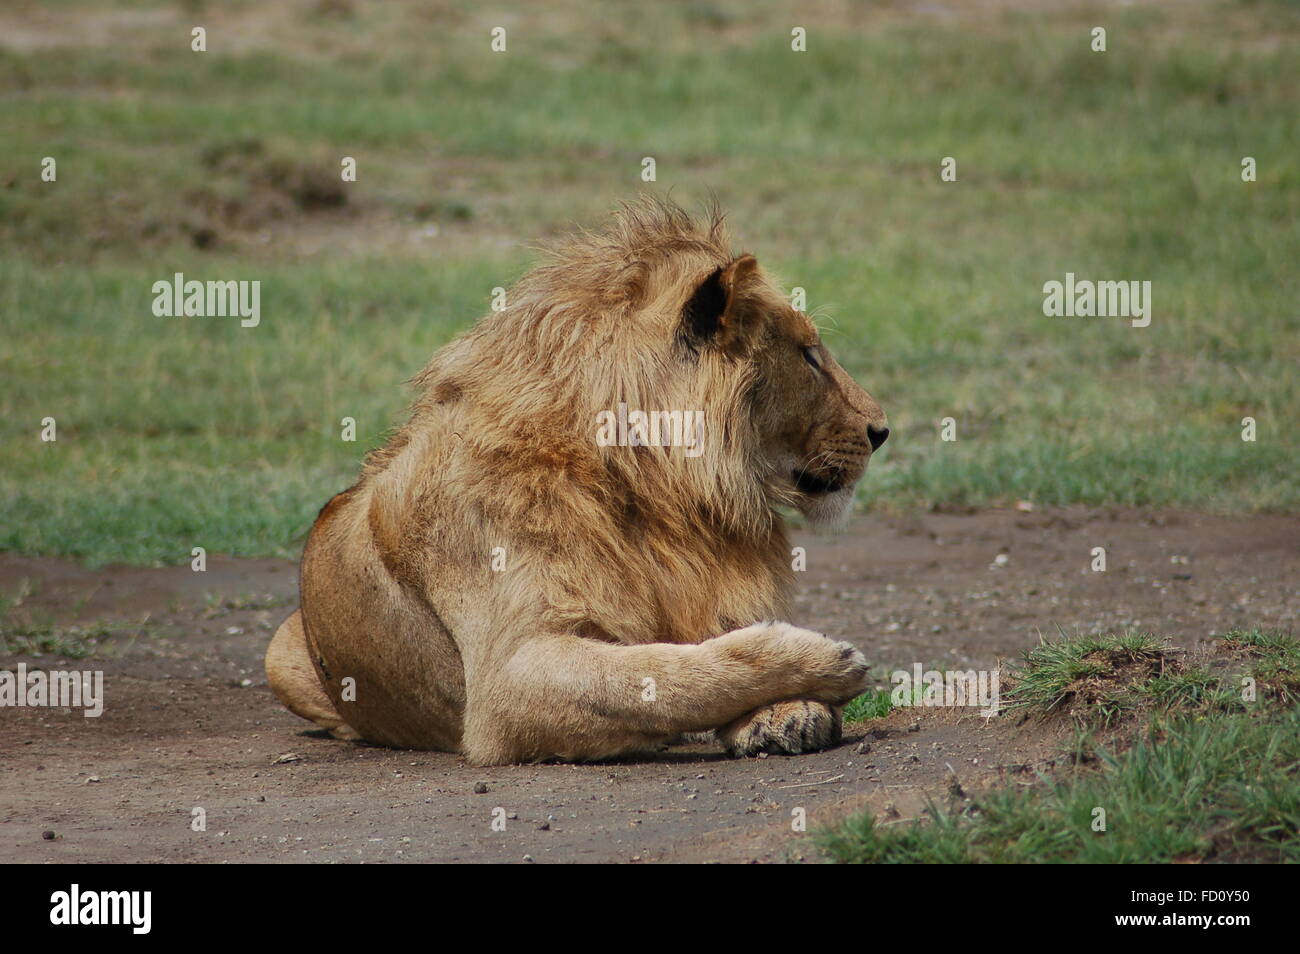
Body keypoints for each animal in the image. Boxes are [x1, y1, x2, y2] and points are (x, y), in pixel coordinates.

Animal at [265, 199, 890, 764]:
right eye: (808, 355)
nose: (881, 430)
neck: (655, 496)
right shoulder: (507, 681)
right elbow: (666, 674)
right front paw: (821, 662)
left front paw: (787, 712)